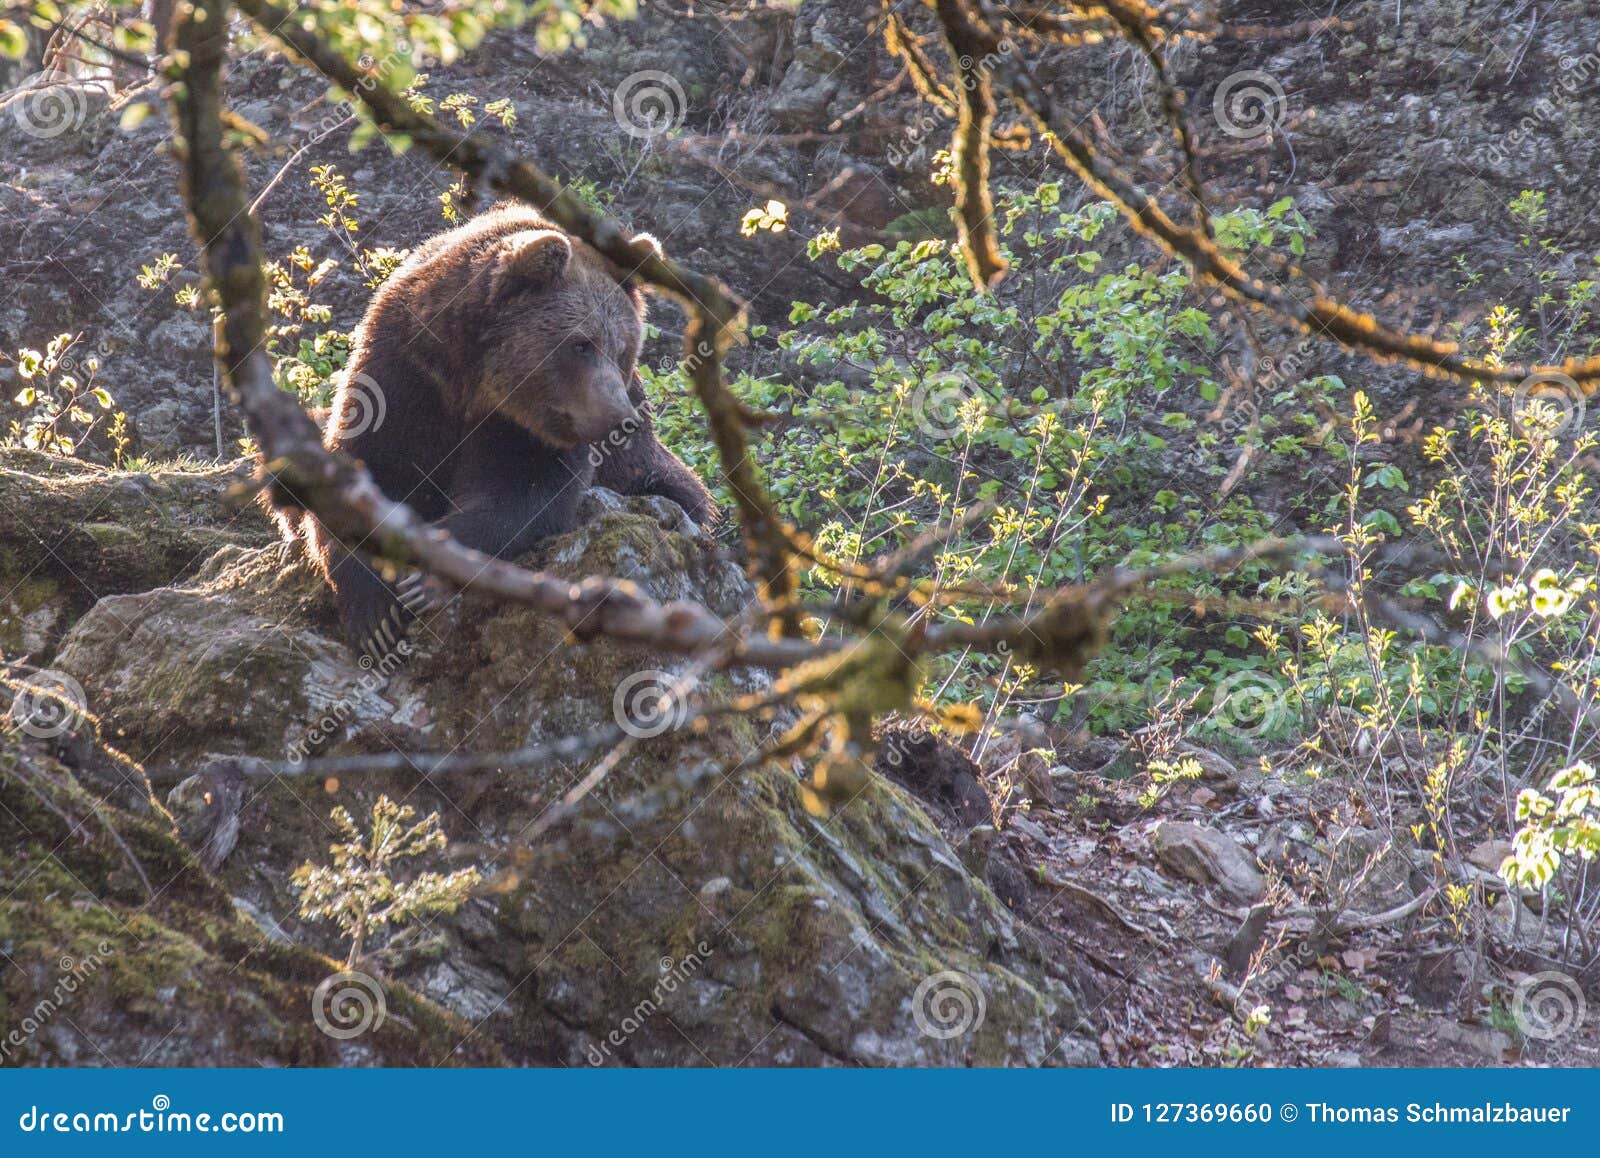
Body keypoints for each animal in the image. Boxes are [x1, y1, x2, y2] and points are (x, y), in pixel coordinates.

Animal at [296, 203, 717, 657]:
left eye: (622, 349)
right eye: (580, 345)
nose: (620, 415)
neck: (475, 385)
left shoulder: (526, 431)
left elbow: (520, 497)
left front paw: (425, 579)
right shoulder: (403, 381)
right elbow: (367, 469)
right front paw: (375, 617)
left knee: (676, 494)